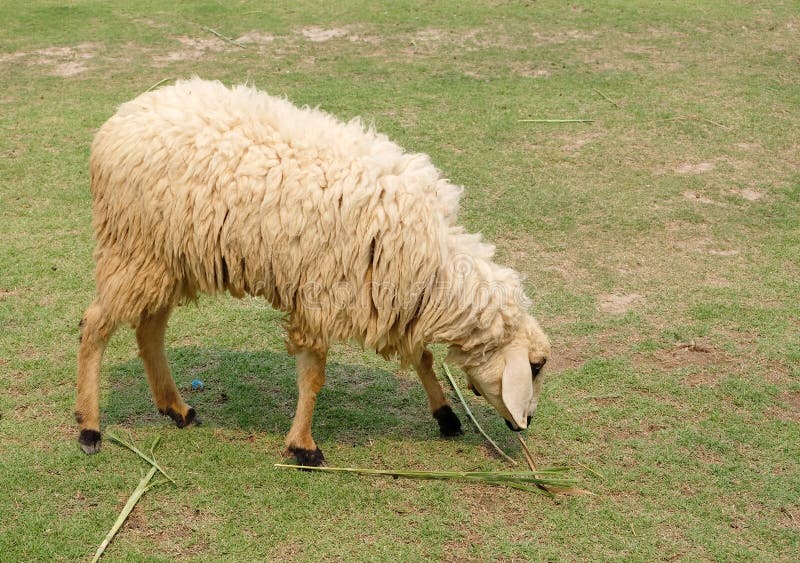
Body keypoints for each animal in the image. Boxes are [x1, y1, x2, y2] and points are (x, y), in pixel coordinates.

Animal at [75, 78, 551, 466]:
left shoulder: (395, 296)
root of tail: (118, 121)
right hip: (133, 248)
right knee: (95, 325)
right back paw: (90, 427)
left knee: (149, 330)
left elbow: (422, 356)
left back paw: (175, 408)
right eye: (536, 366)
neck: (435, 265)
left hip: (167, 259)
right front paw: (303, 445)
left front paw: (446, 414)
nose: (525, 421)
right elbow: (314, 375)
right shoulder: (325, 294)